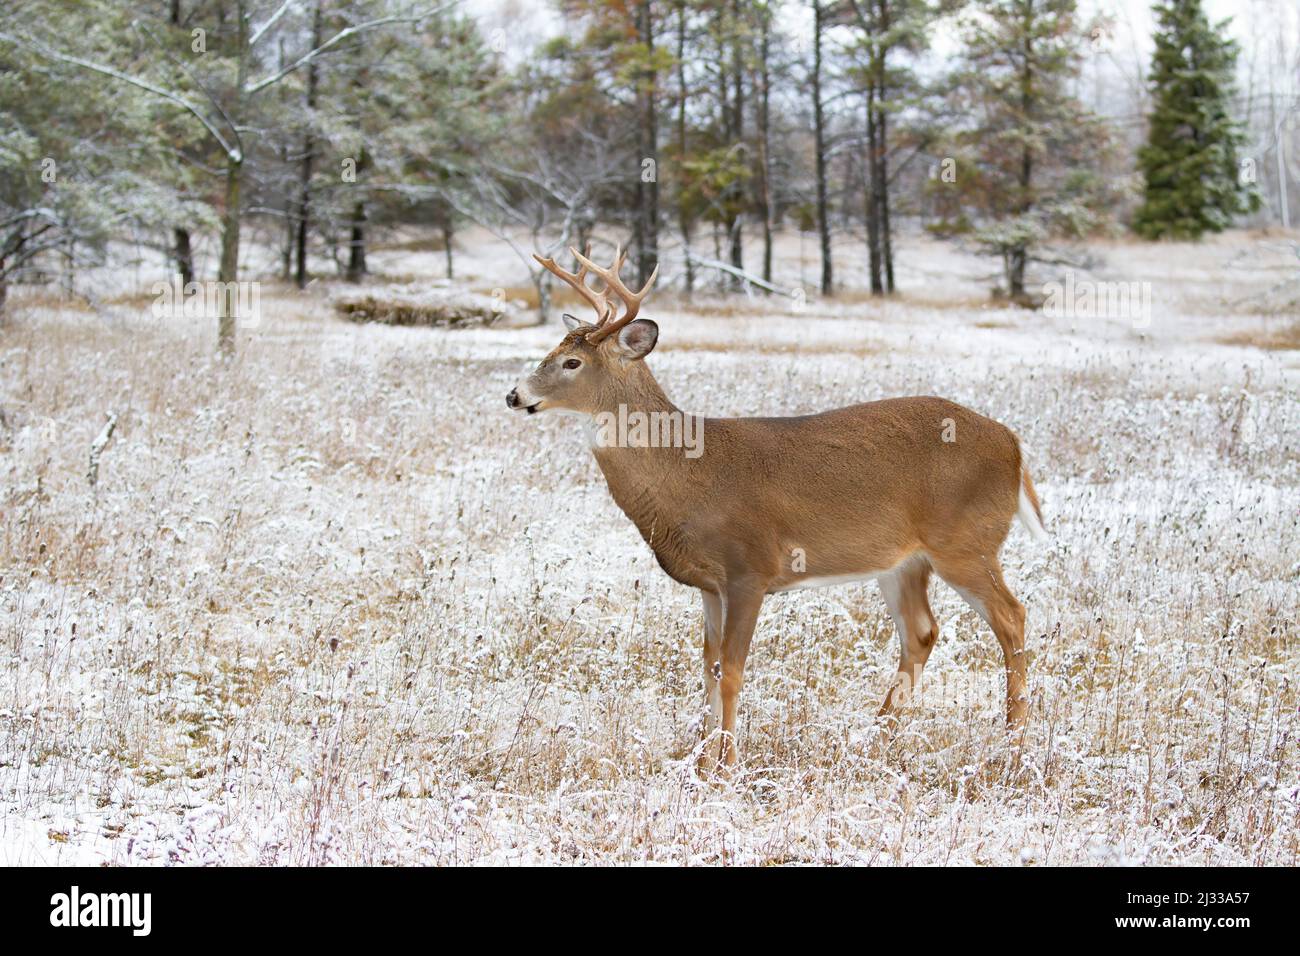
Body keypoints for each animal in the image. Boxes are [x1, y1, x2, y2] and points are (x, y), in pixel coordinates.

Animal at [507, 245, 1048, 774]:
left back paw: (1013, 747)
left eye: (571, 362)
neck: (687, 473)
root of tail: (1013, 444)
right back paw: (871, 739)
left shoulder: (751, 568)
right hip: (902, 561)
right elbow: (708, 668)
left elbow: (732, 670)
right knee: (921, 632)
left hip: (966, 541)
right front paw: (698, 760)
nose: (514, 395)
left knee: (1012, 617)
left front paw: (727, 769)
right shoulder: (710, 585)